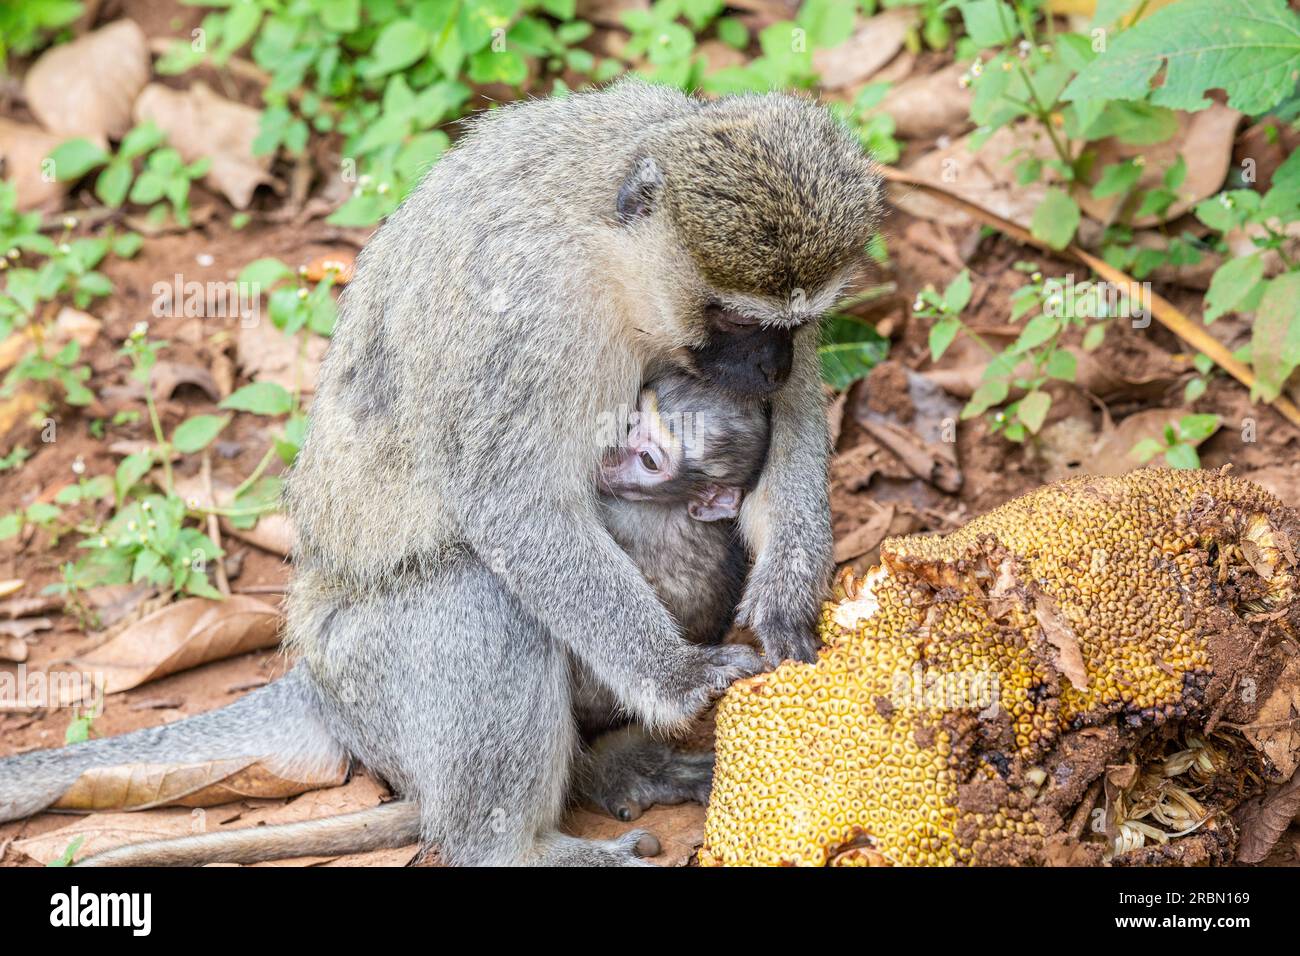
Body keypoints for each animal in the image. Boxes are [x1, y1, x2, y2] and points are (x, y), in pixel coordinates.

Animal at [0, 79, 881, 866]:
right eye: (729, 317)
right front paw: (682, 677)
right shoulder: (533, 312)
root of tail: (317, 680)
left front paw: (785, 603)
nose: (768, 365)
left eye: (793, 324)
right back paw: (514, 851)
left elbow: (791, 434)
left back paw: (618, 769)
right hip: (375, 677)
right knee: (485, 596)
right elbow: (515, 507)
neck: (607, 252)